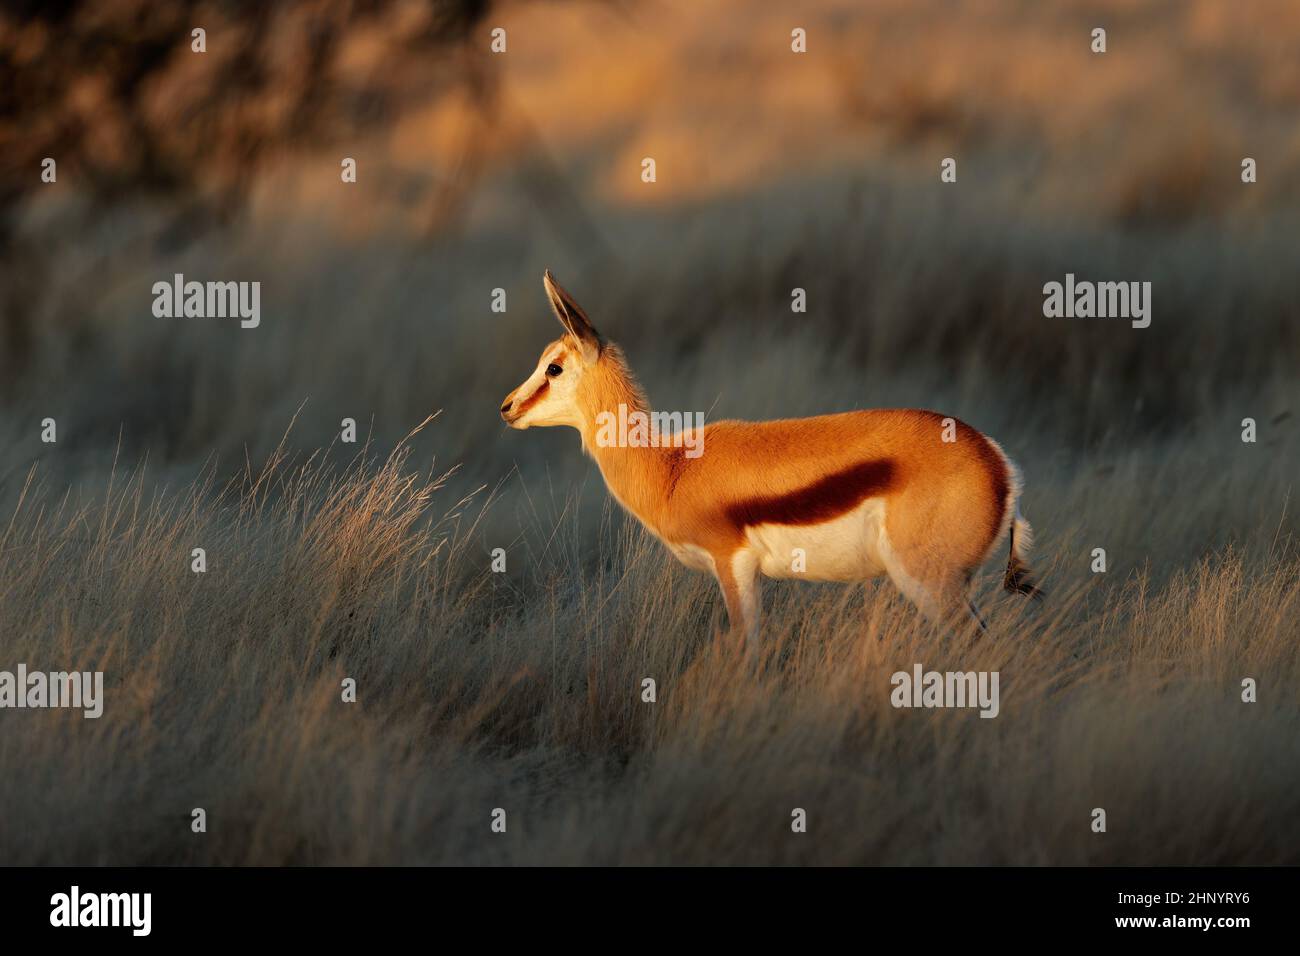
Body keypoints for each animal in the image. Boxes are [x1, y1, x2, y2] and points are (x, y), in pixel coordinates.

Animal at [501, 272, 1042, 642]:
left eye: (554, 367)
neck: (673, 466)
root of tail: (1001, 467)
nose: (507, 407)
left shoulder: (733, 566)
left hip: (929, 583)